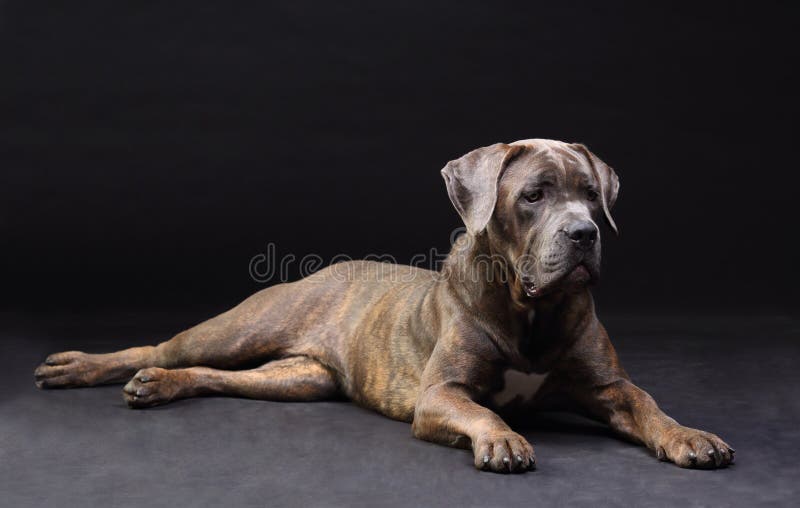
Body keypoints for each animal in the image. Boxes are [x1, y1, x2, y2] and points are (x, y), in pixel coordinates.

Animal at [34, 139, 734, 473]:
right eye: (534, 195)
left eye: (592, 194)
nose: (584, 233)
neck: (528, 307)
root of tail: (327, 270)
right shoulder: (441, 394)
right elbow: (482, 411)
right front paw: (502, 439)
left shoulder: (611, 387)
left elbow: (649, 406)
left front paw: (690, 436)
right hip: (240, 327)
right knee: (160, 346)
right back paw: (83, 368)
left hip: (298, 378)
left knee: (216, 377)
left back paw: (158, 385)